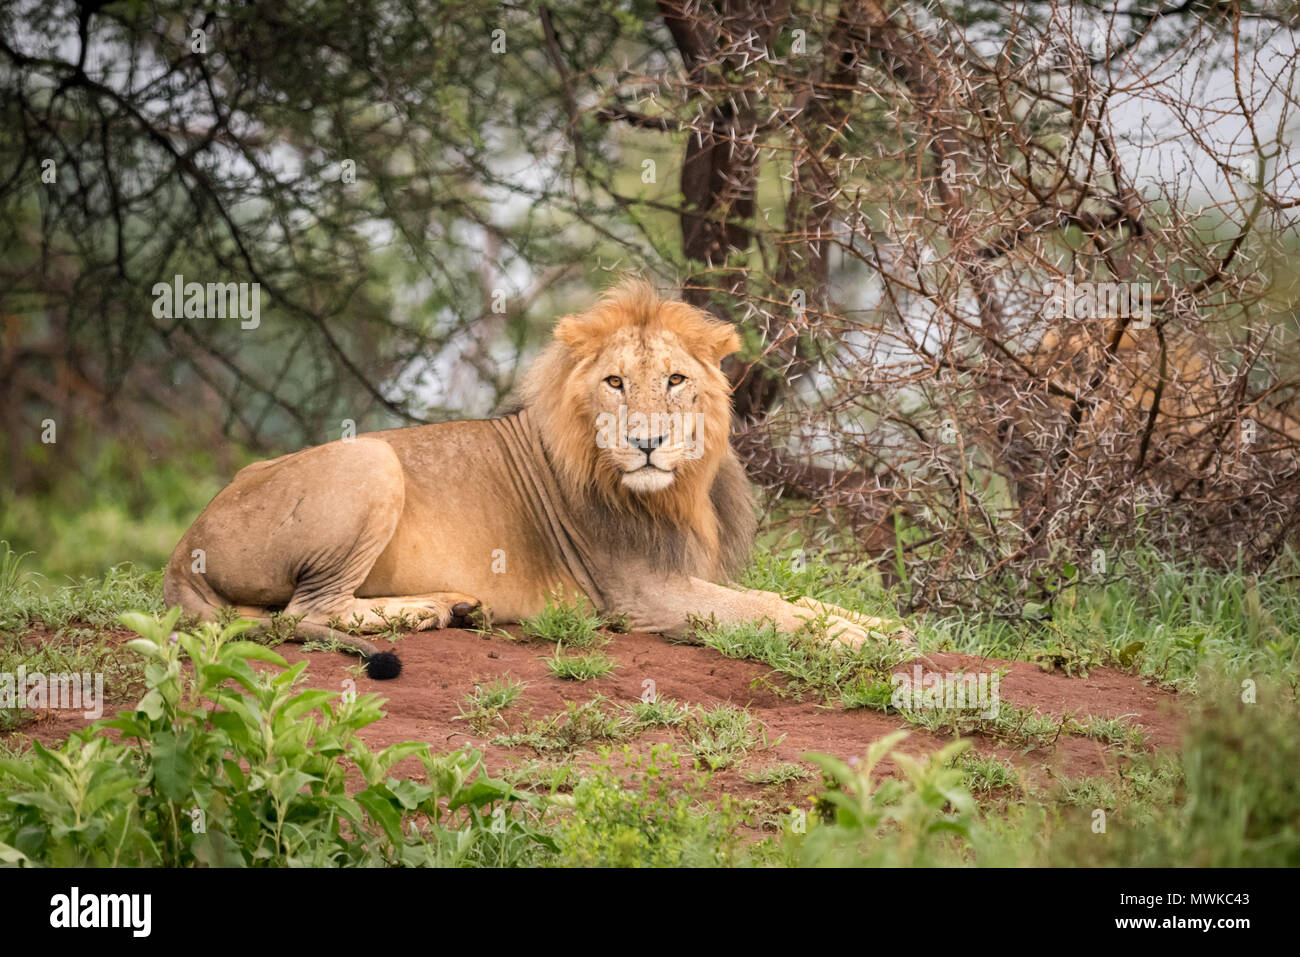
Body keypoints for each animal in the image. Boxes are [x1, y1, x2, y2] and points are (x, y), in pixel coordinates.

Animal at [163, 279, 907, 678]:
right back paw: (428, 609)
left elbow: (794, 601)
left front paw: (882, 627)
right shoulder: (643, 594)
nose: (645, 443)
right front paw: (859, 639)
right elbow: (771, 612)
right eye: (614, 382)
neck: (676, 493)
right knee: (305, 613)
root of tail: (181, 549)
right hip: (371, 460)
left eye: (675, 380)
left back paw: (451, 605)